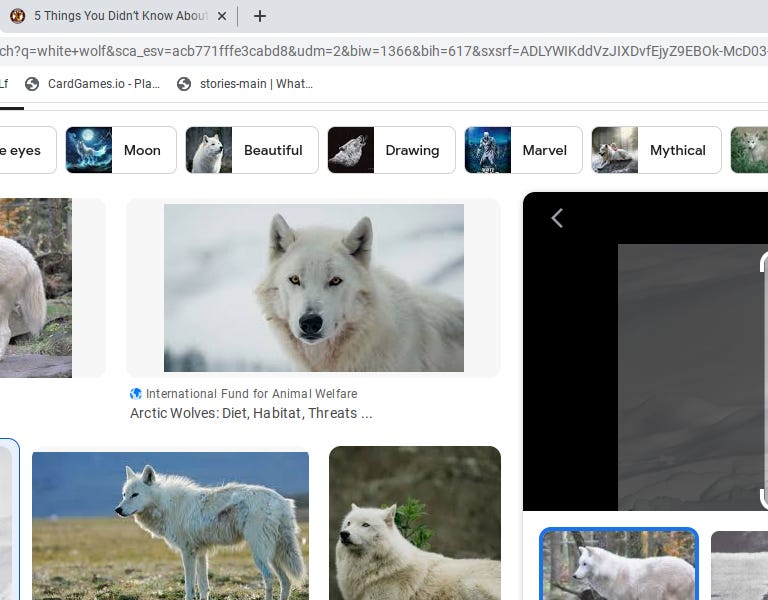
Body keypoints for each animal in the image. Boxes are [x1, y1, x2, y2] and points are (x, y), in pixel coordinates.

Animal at [115, 465, 304, 600]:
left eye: (135, 495)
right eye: (124, 494)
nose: (118, 510)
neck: (167, 505)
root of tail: (282, 502)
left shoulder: (188, 553)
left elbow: (189, 588)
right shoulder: (201, 553)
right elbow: (203, 587)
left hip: (259, 554)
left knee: (270, 579)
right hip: (273, 554)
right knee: (286, 581)